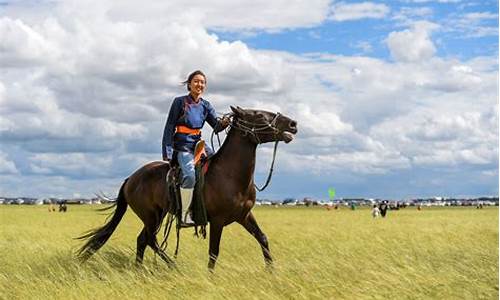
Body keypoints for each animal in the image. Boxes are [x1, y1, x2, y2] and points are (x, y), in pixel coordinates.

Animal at [77, 106, 296, 270]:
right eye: (259, 114)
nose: (293, 124)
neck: (229, 175)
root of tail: (131, 178)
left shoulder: (244, 215)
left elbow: (263, 238)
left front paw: (271, 270)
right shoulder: (217, 221)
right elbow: (214, 252)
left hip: (158, 214)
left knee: (142, 240)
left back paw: (139, 268)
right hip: (151, 216)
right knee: (150, 240)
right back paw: (173, 266)